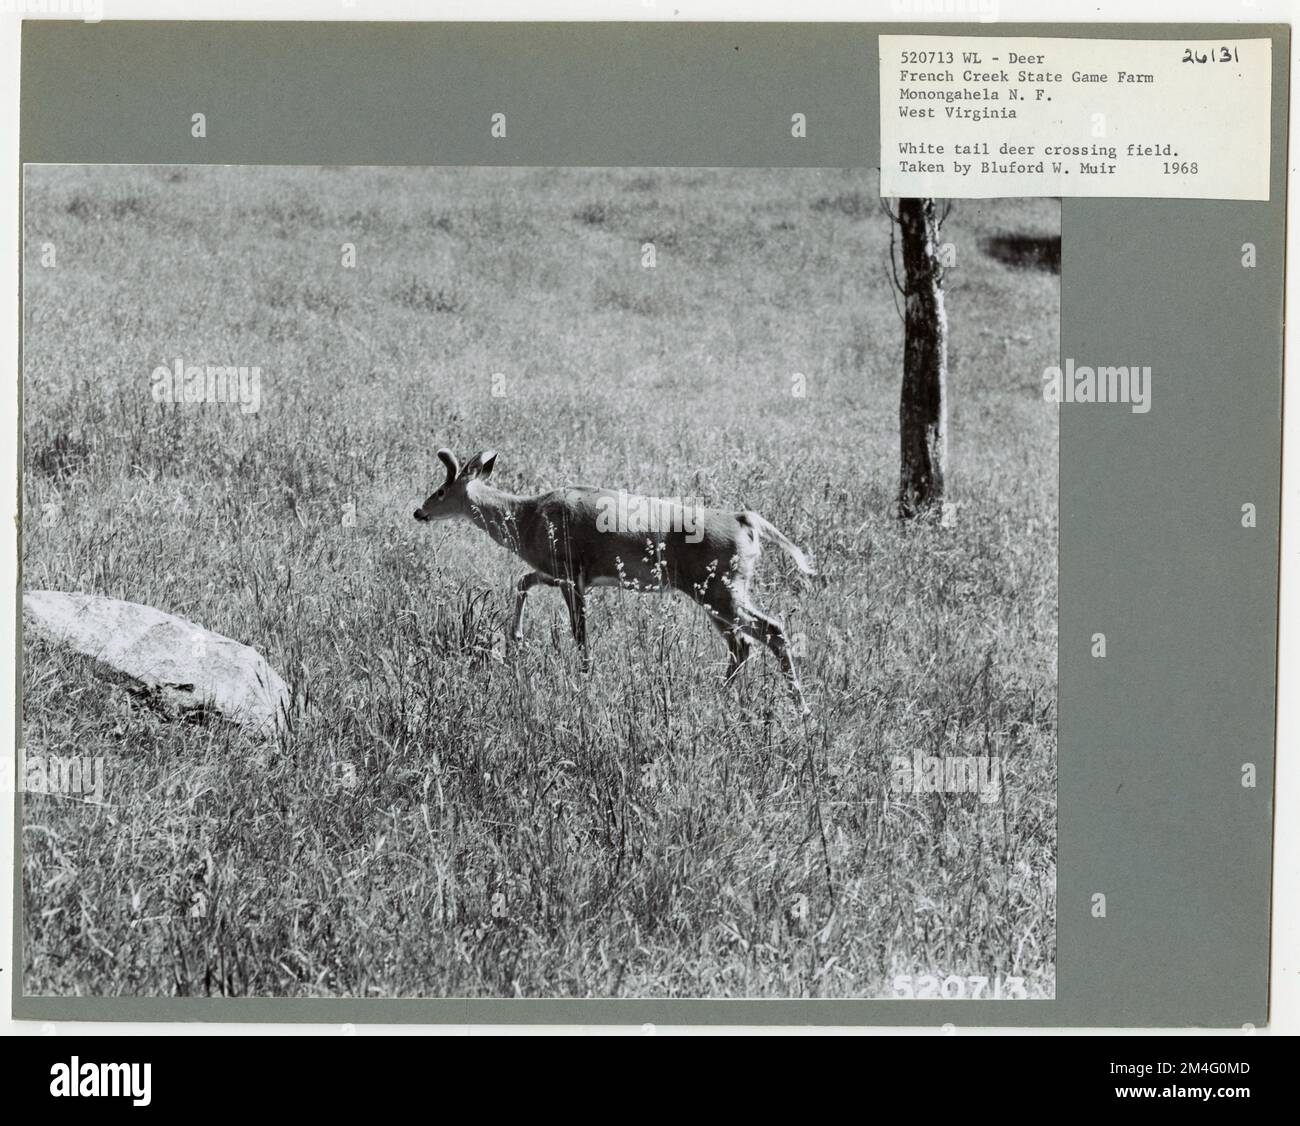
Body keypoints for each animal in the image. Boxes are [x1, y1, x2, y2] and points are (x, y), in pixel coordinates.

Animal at [413, 448, 815, 714]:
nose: (419, 511)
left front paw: (585, 676)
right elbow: (522, 581)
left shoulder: (571, 575)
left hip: (718, 589)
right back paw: (730, 696)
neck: (527, 518)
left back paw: (797, 706)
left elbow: (579, 631)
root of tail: (743, 521)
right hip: (722, 591)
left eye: (440, 491)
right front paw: (516, 638)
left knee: (767, 632)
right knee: (746, 642)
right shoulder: (556, 572)